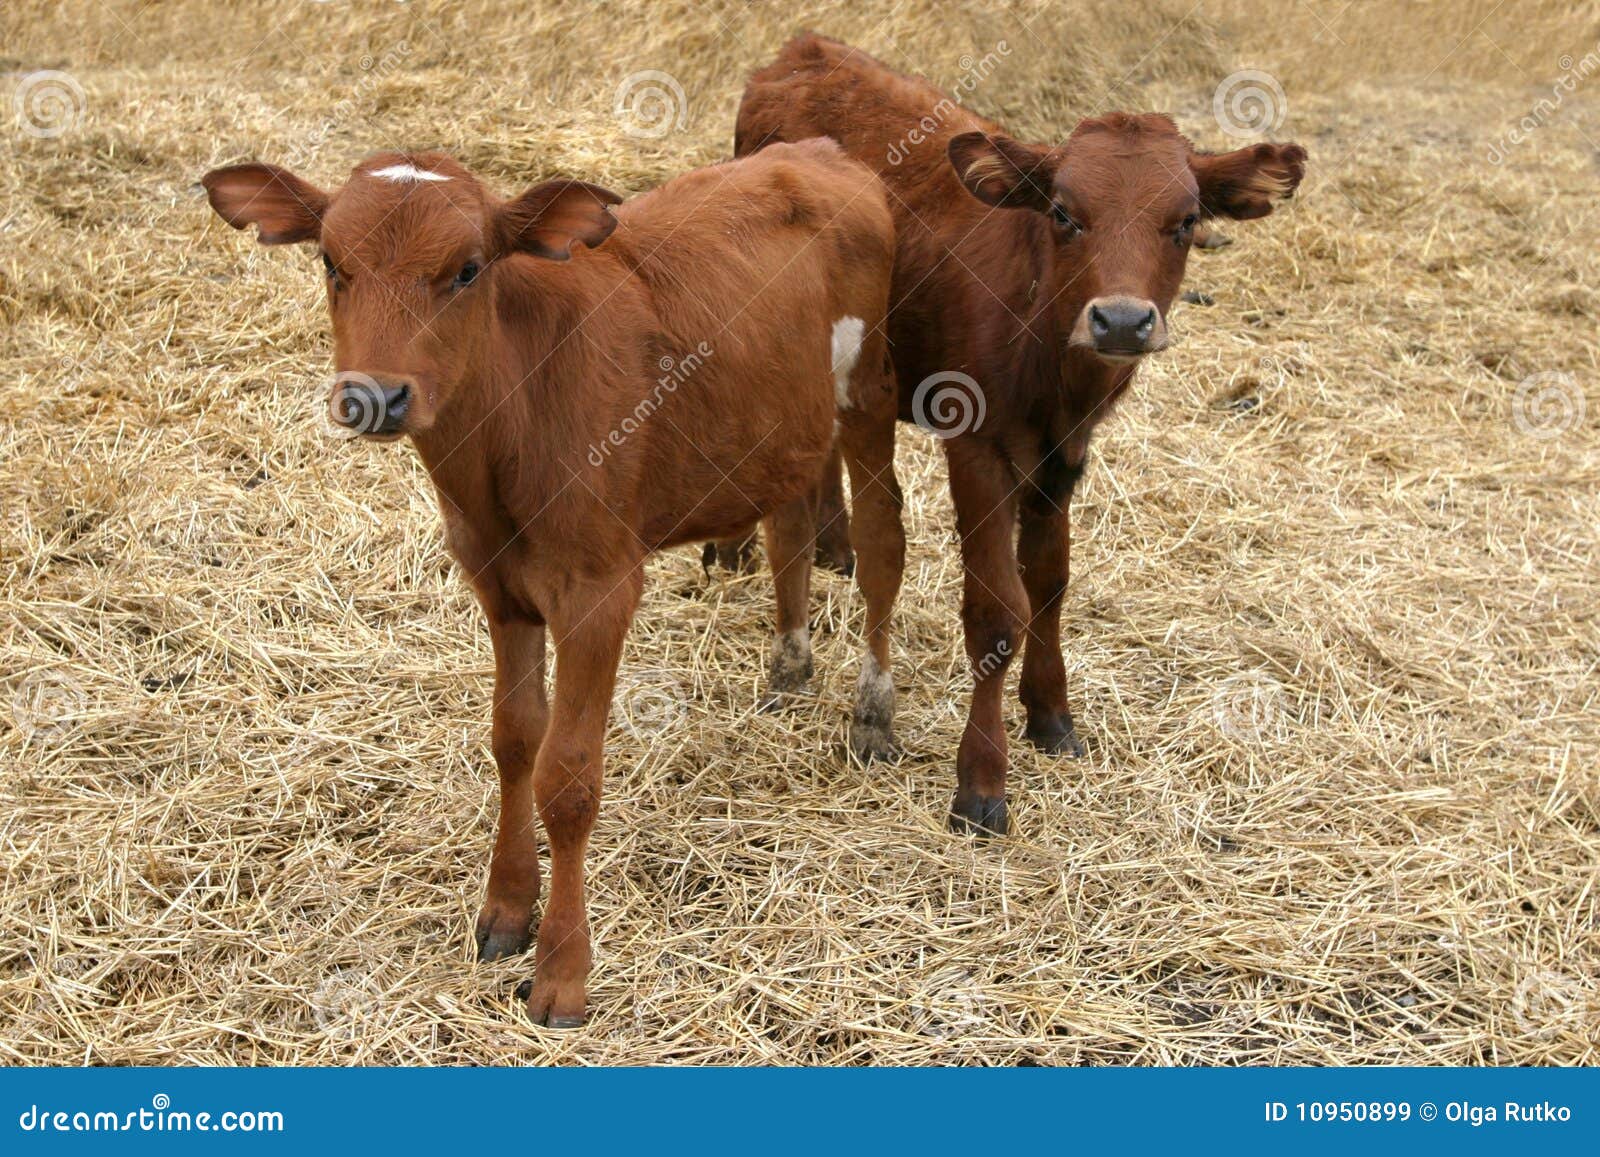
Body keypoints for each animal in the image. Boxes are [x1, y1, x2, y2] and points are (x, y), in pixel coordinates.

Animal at [200, 139, 905, 1026]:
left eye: (468, 269)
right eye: (331, 261)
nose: (374, 396)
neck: (514, 415)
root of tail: (814, 152)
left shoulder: (600, 588)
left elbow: (567, 779)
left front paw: (563, 972)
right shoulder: (499, 586)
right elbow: (514, 742)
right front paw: (505, 906)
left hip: (870, 391)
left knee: (882, 538)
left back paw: (873, 710)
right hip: (782, 421)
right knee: (791, 518)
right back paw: (789, 665)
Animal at [735, 34, 1307, 836]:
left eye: (1187, 221)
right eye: (1064, 213)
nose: (1121, 320)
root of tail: (808, 49)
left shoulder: (1065, 454)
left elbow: (1050, 583)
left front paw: (1051, 715)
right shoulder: (976, 445)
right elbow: (996, 611)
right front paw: (981, 783)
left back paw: (833, 543)